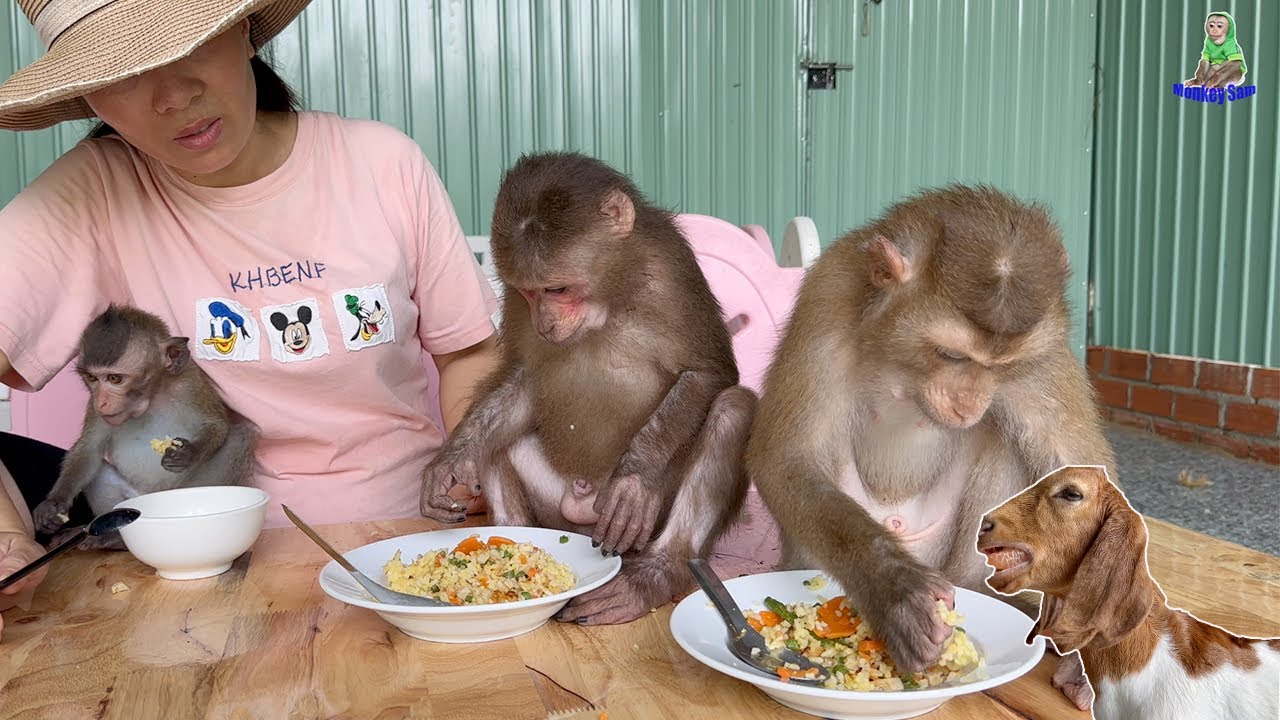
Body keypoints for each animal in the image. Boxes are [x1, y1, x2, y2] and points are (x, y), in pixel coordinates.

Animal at [32, 305, 257, 549]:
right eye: (92, 378)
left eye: (115, 378)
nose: (102, 402)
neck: (152, 396)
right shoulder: (94, 408)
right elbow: (89, 449)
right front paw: (53, 504)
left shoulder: (189, 383)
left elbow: (218, 425)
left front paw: (187, 453)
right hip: (134, 498)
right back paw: (114, 537)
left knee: (240, 437)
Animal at [419, 151, 756, 625]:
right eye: (529, 292)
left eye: (558, 288)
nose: (545, 322)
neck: (606, 300)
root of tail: (582, 503)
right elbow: (524, 379)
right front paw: (454, 456)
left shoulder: (669, 273)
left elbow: (710, 374)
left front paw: (634, 478)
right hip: (560, 514)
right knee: (499, 440)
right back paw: (513, 536)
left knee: (732, 408)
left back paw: (656, 573)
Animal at [745, 185, 1116, 692]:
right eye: (951, 355)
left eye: (1001, 366)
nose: (968, 404)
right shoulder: (827, 302)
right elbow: (785, 459)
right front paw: (895, 592)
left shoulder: (1045, 347)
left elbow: (1081, 464)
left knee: (1007, 441)